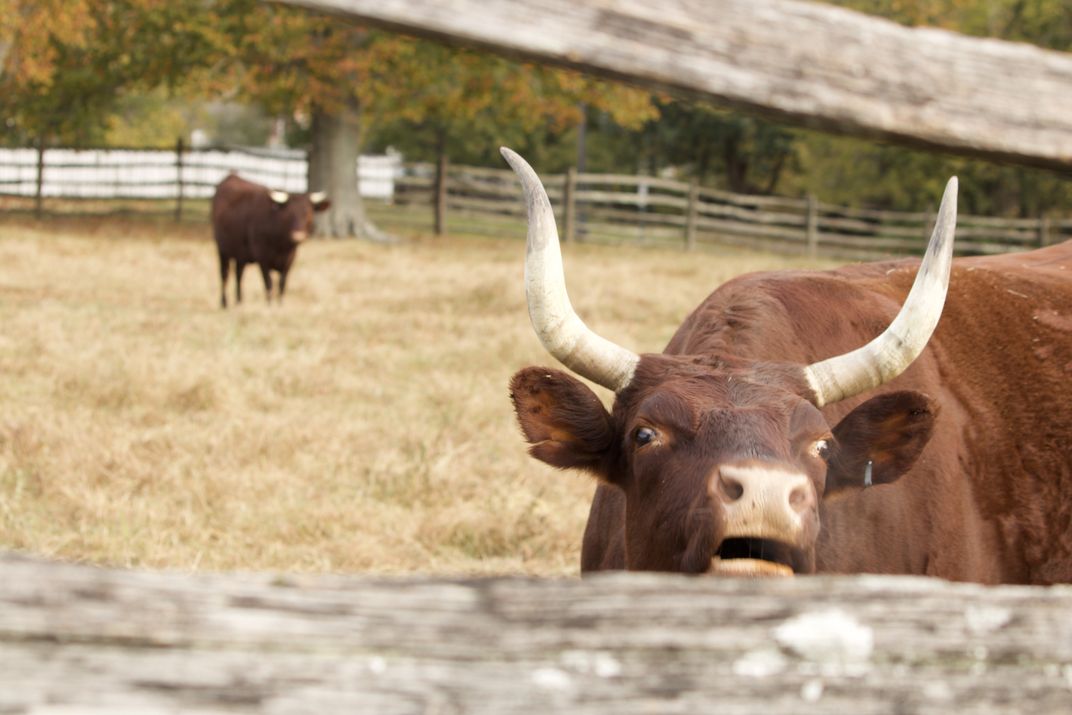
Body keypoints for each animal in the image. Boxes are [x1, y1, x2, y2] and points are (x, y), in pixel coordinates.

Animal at [211, 173, 330, 308]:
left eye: (308, 212)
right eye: (289, 213)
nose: (298, 236)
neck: (282, 246)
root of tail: (231, 176)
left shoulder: (289, 260)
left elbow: (282, 284)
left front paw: (280, 305)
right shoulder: (263, 259)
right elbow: (269, 283)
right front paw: (269, 306)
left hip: (240, 254)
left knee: (238, 275)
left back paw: (239, 302)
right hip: (222, 249)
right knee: (224, 274)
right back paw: (224, 303)